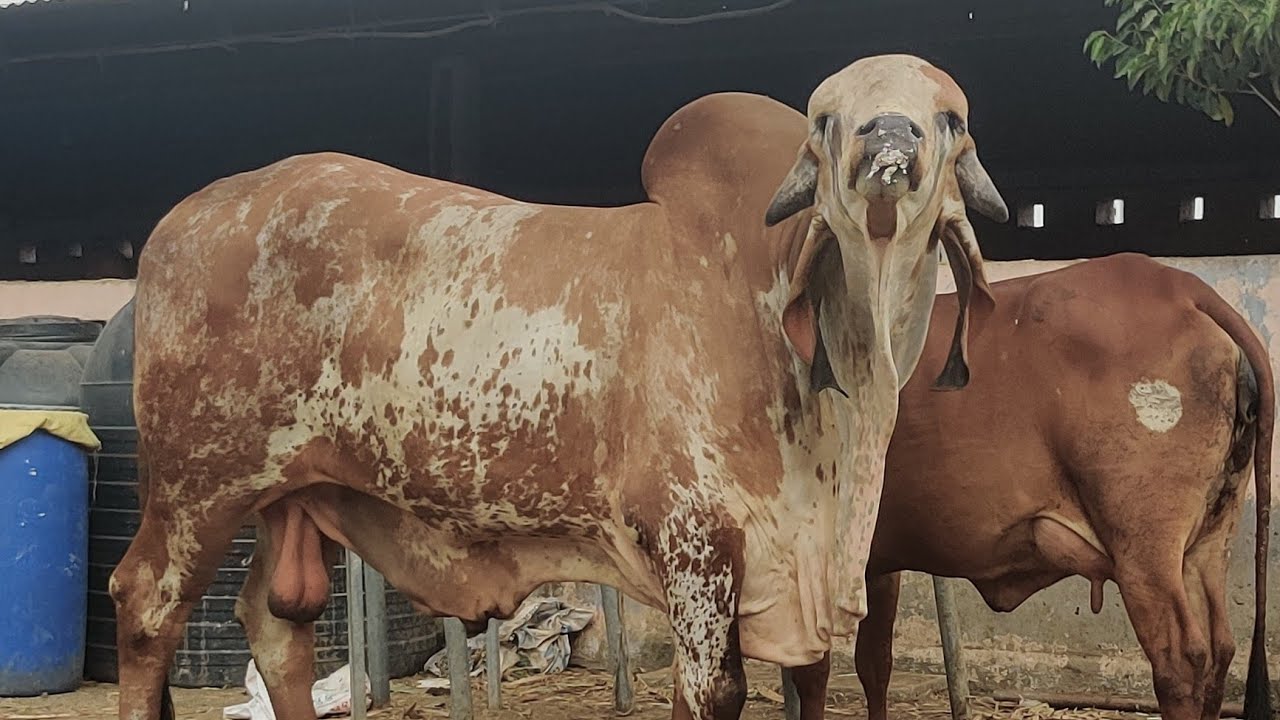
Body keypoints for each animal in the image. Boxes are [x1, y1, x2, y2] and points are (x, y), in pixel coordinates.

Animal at [109, 54, 1010, 720]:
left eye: (951, 117)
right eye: (828, 119)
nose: (888, 142)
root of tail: (184, 219)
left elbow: (809, 680)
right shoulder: (697, 544)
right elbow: (715, 691)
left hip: (290, 491)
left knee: (275, 620)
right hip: (200, 482)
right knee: (147, 605)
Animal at [788, 253, 1274, 720]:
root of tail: (1179, 286)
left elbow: (809, 671)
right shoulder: (877, 562)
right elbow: (874, 664)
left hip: (1145, 547)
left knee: (1180, 660)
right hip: (1209, 541)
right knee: (1220, 650)